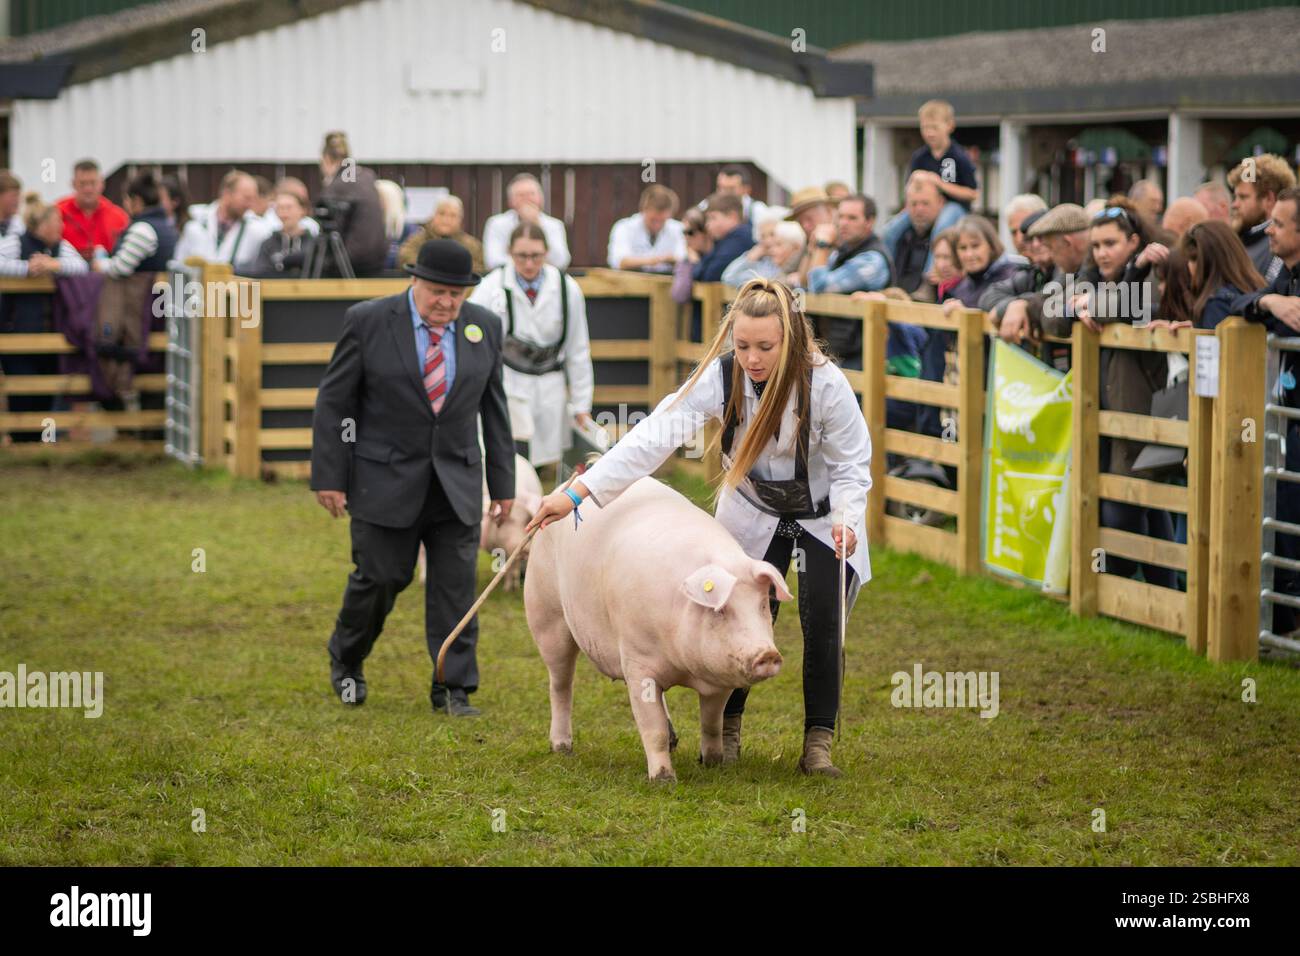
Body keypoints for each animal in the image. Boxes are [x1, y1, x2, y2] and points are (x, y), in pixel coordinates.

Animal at [524, 476, 791, 782]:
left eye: (762, 605)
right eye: (720, 610)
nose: (767, 655)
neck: (687, 669)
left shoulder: (720, 679)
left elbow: (711, 722)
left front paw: (714, 762)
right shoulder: (638, 662)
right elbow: (653, 728)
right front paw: (664, 779)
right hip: (547, 616)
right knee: (560, 684)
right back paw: (562, 747)